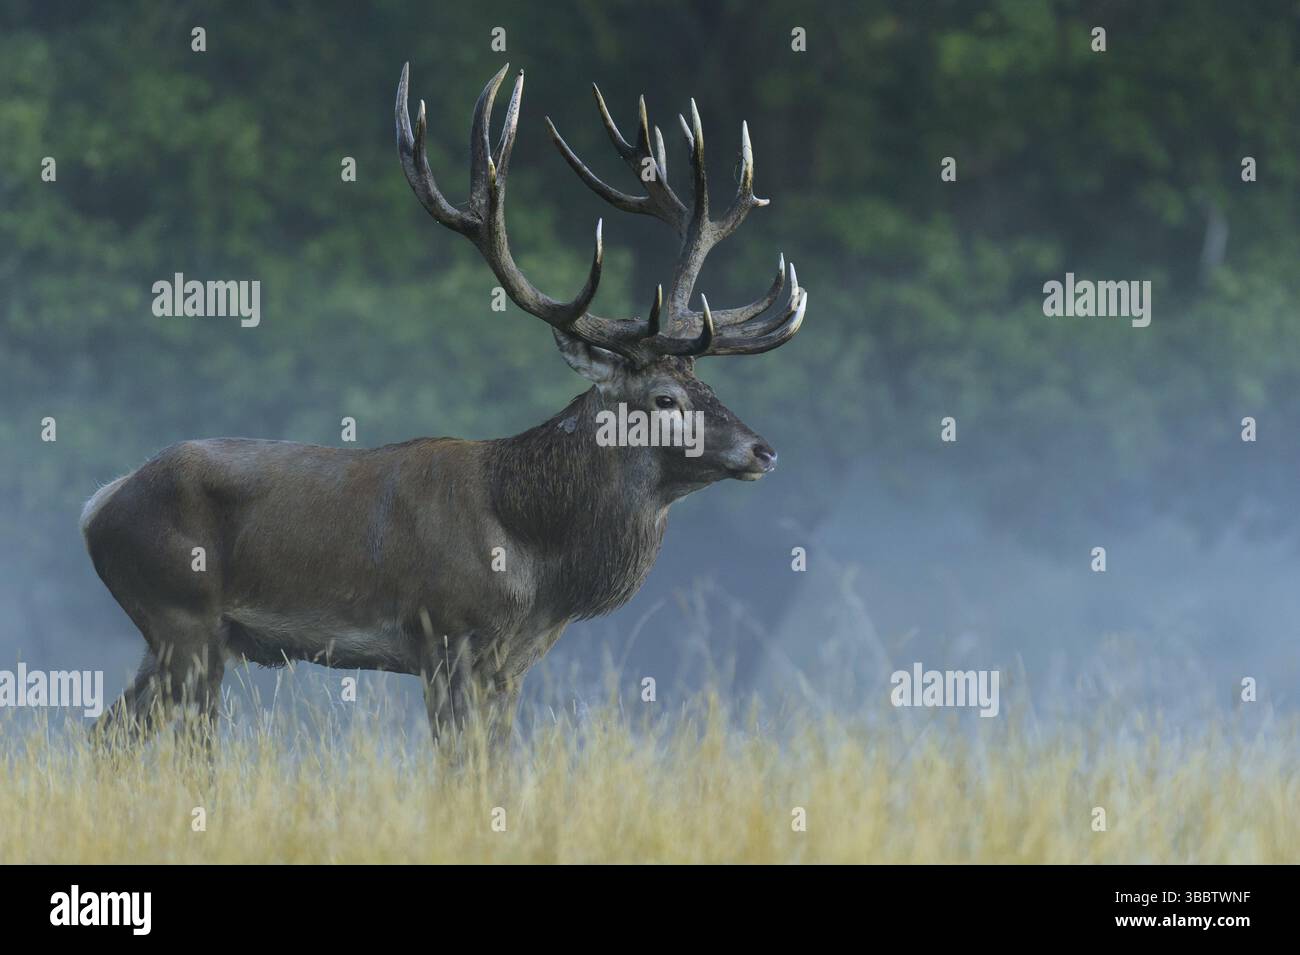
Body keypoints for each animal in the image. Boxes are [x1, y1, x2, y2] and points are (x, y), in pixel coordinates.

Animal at [81, 63, 808, 753]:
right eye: (665, 397)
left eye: (712, 388)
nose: (764, 449)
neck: (534, 562)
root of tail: (97, 505)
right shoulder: (444, 633)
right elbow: (456, 766)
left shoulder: (509, 663)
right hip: (183, 616)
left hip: (180, 636)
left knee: (105, 735)